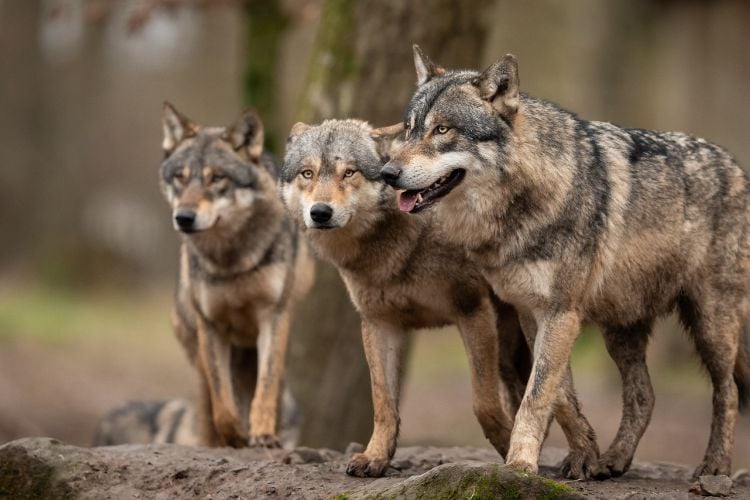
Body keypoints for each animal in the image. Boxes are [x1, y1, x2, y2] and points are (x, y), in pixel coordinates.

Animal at [159, 103, 314, 448]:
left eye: (217, 178)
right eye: (180, 178)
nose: (184, 217)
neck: (231, 260)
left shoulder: (273, 317)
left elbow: (265, 390)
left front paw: (263, 434)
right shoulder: (211, 326)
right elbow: (223, 406)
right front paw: (235, 437)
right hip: (200, 355)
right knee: (208, 406)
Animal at [280, 119, 599, 478]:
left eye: (349, 173)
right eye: (307, 173)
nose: (320, 212)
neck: (399, 245)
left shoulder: (472, 311)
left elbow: (483, 404)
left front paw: (510, 456)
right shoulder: (379, 324)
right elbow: (383, 403)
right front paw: (376, 457)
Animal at [381, 45, 750, 479]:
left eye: (442, 130)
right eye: (409, 129)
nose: (387, 173)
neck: (521, 203)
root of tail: (736, 165)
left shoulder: (561, 313)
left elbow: (536, 396)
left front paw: (521, 464)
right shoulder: (532, 312)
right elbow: (559, 394)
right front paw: (584, 454)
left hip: (710, 324)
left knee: (727, 392)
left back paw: (714, 467)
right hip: (621, 330)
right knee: (645, 395)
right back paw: (613, 460)